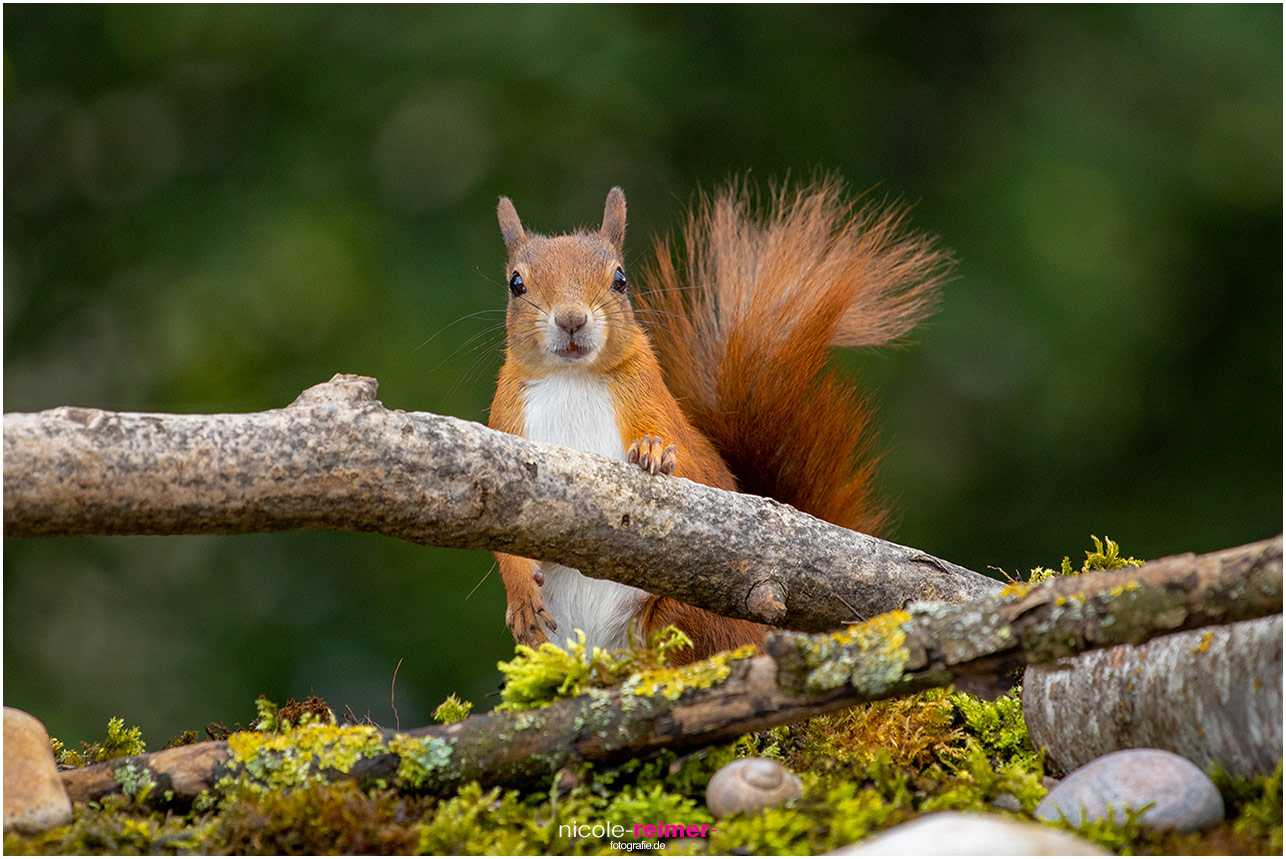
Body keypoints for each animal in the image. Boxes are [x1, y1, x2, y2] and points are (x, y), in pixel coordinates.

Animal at [488, 178, 951, 664]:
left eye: (620, 280)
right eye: (516, 284)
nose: (572, 319)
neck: (571, 377)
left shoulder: (654, 402)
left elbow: (690, 467)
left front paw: (653, 450)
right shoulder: (506, 430)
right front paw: (520, 592)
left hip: (688, 615)